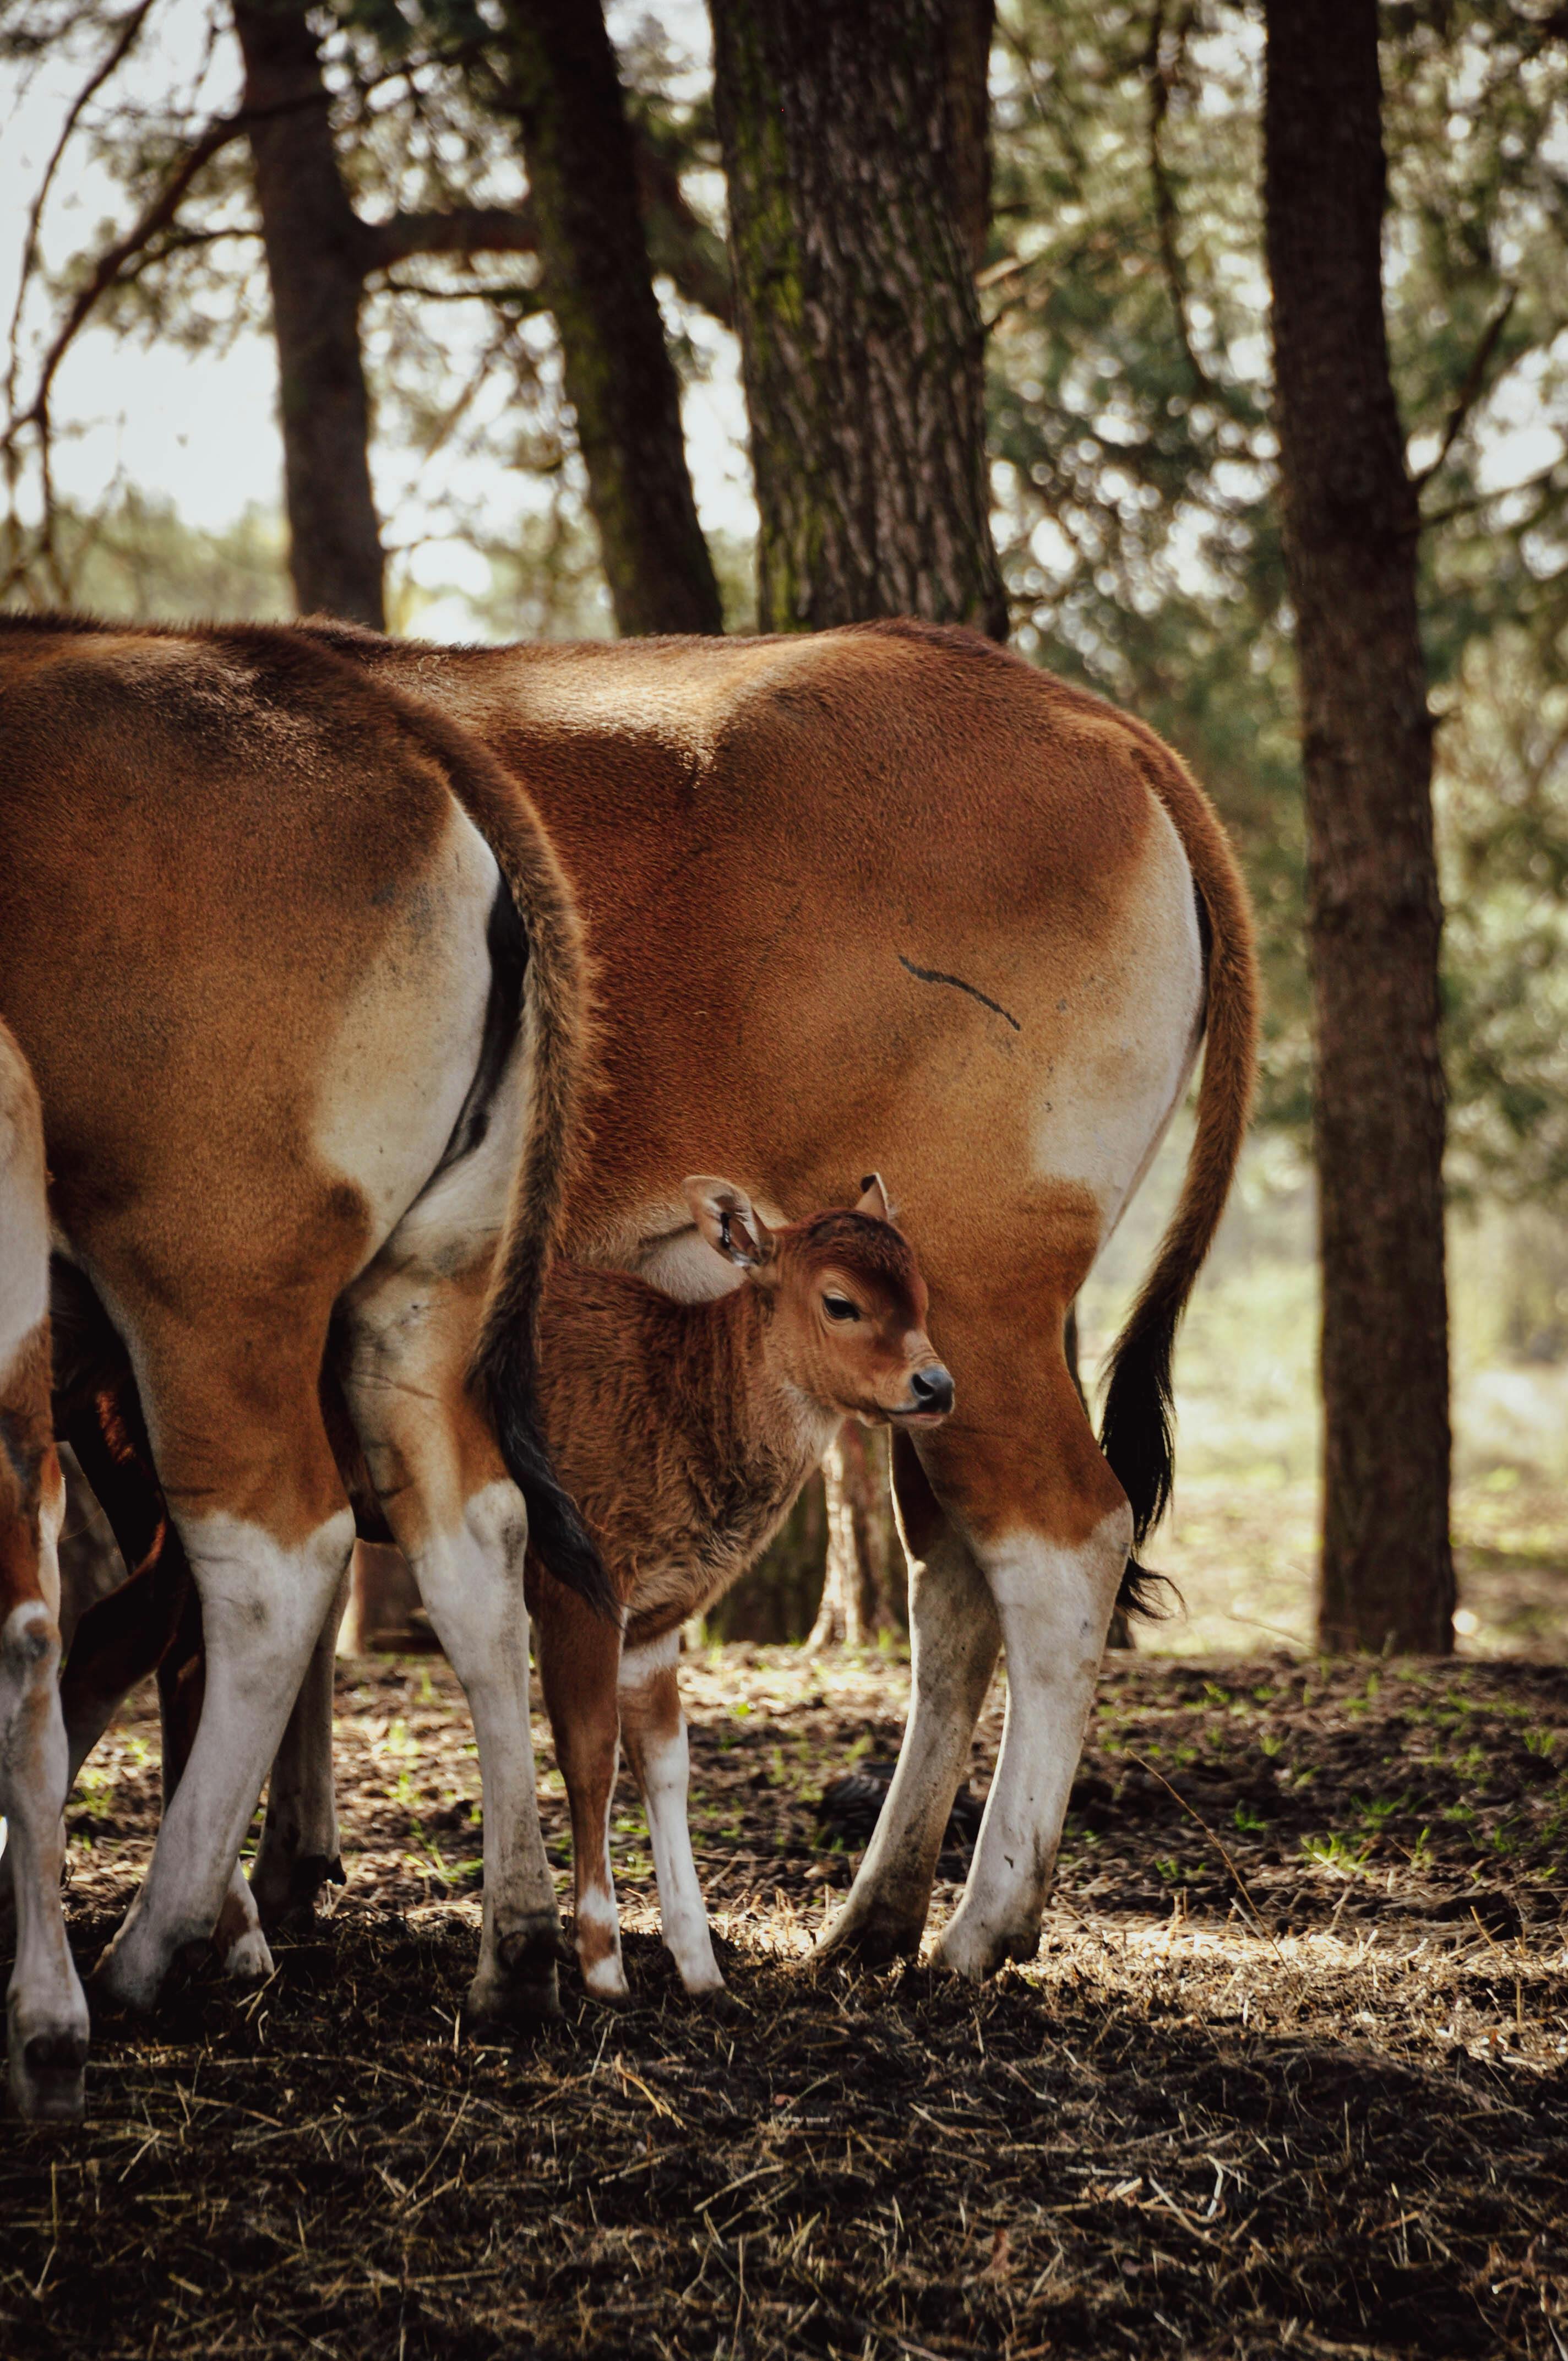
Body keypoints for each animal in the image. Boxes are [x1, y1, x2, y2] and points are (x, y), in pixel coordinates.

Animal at [0, 614, 606, 2033]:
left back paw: (154, 1944)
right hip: (423, 1300)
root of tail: (377, 709)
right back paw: (516, 1940)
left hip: (205, 1293)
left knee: (275, 1561)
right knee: (473, 1534)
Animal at [528, 1174, 950, 2001]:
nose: (935, 1385)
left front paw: (702, 1968)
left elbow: (666, 1761)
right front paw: (602, 1967)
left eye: (921, 1292)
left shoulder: (657, 1614)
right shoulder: (572, 1585)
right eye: (840, 1302)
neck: (673, 1400)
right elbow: (589, 1754)